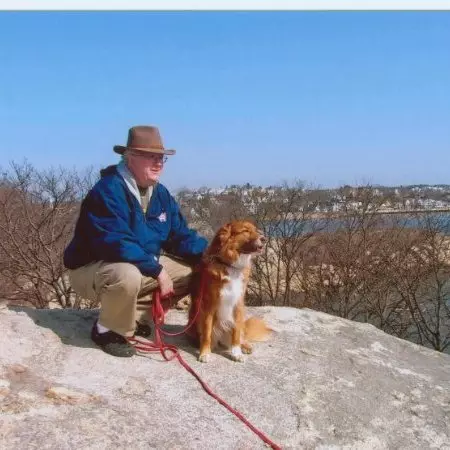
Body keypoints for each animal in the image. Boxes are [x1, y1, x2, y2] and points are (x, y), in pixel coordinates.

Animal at [188, 220, 272, 364]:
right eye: (245, 231)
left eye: (255, 230)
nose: (264, 238)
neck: (231, 265)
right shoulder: (208, 306)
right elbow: (207, 332)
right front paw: (205, 352)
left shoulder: (238, 304)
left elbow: (236, 334)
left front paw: (236, 353)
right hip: (196, 318)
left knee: (241, 336)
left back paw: (245, 346)